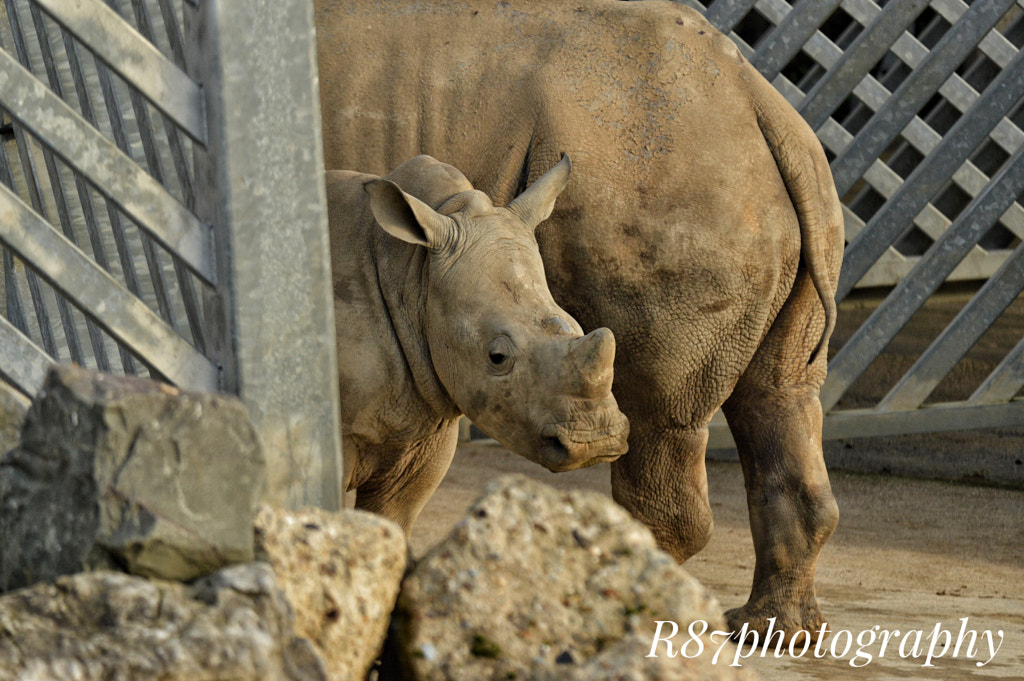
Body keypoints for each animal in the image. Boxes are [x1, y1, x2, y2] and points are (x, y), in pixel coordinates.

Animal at [329, 154, 629, 531]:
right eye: (496, 357)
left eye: (576, 327)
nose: (596, 440)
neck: (413, 274)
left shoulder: (424, 425)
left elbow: (393, 521)